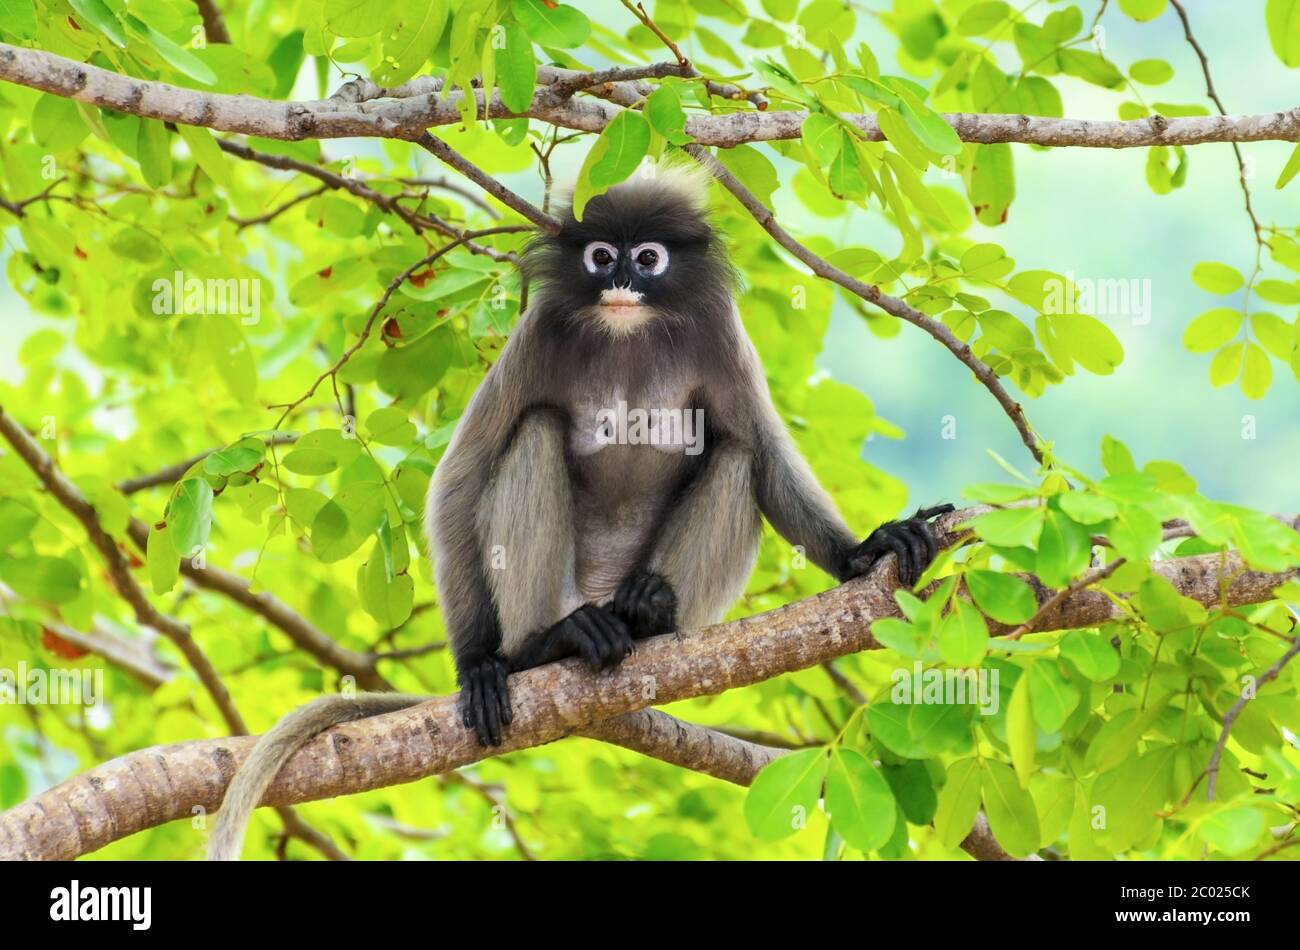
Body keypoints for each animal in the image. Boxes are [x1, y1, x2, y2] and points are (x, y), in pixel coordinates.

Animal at [206, 162, 951, 860]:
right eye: (600, 255)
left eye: (646, 258)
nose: (618, 277)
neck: (627, 336)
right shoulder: (537, 335)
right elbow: (458, 483)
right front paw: (475, 664)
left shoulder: (720, 335)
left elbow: (763, 450)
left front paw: (864, 552)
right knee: (534, 432)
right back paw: (542, 647)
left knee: (735, 453)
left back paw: (649, 613)